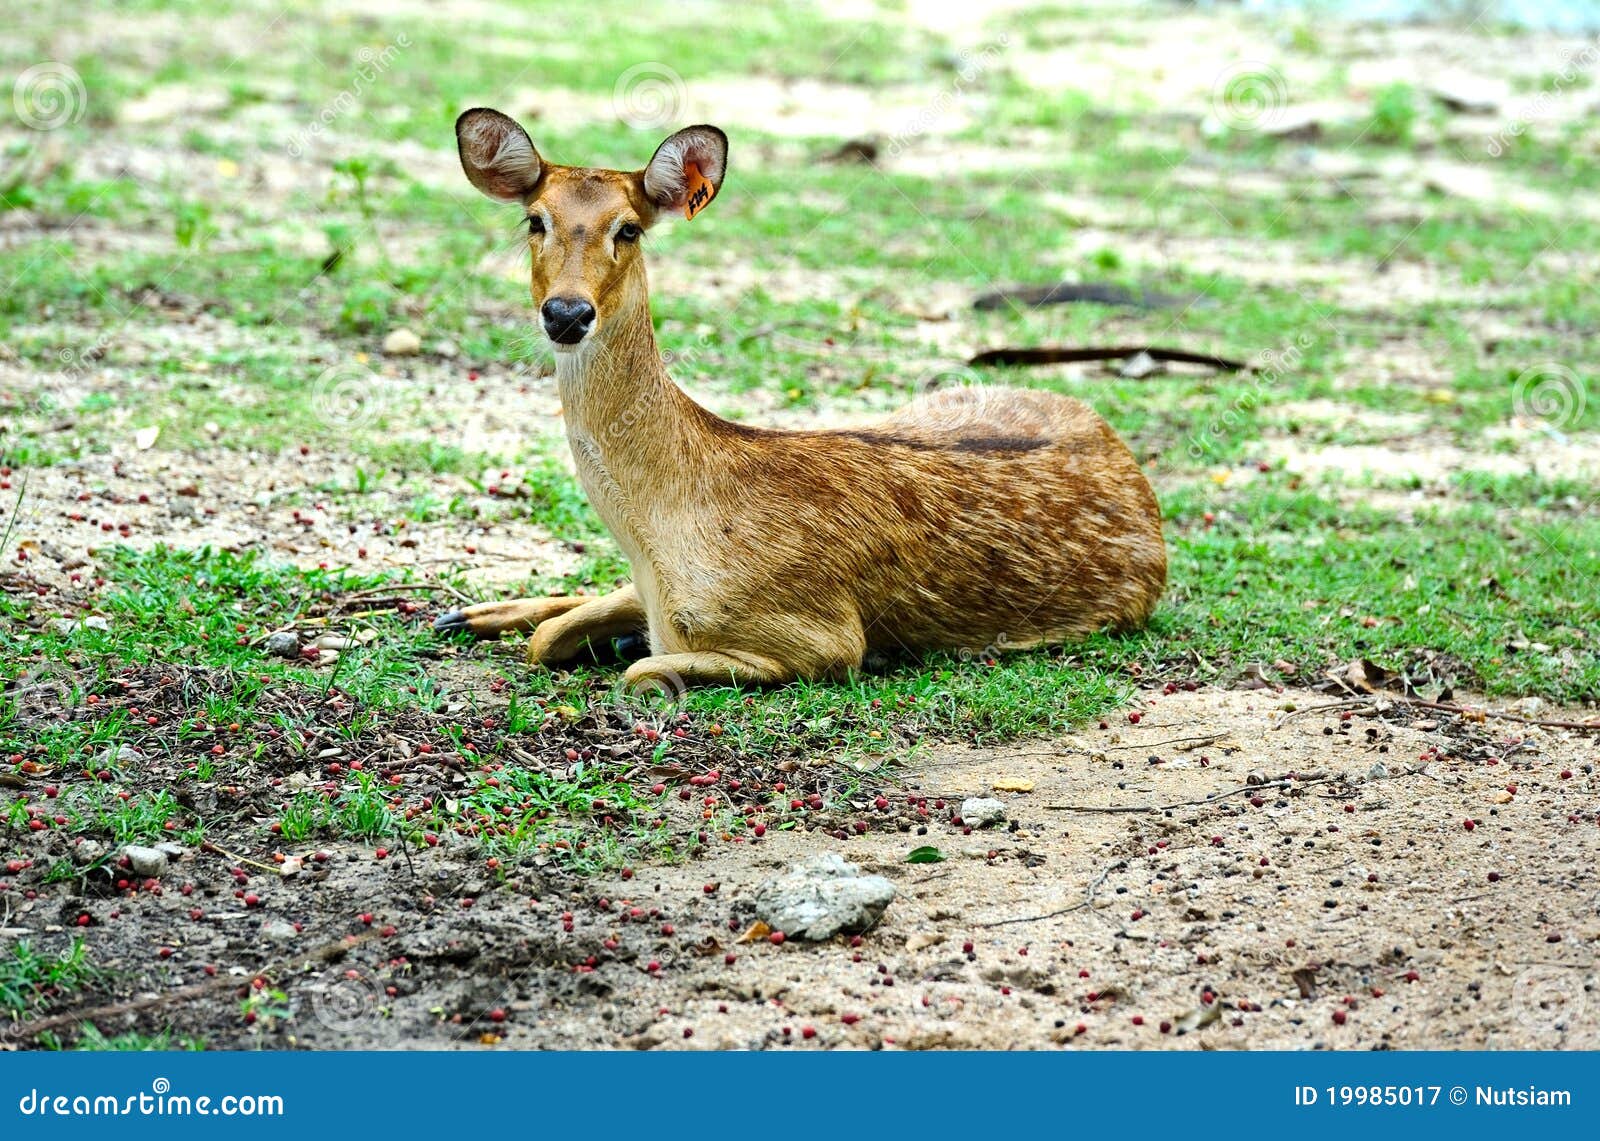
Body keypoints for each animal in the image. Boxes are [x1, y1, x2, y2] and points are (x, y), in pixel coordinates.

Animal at [433, 108, 1167, 691]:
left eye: (629, 229)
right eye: (535, 220)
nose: (566, 313)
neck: (663, 534)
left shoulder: (829, 635)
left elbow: (642, 670)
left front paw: (626, 649)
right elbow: (550, 640)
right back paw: (464, 613)